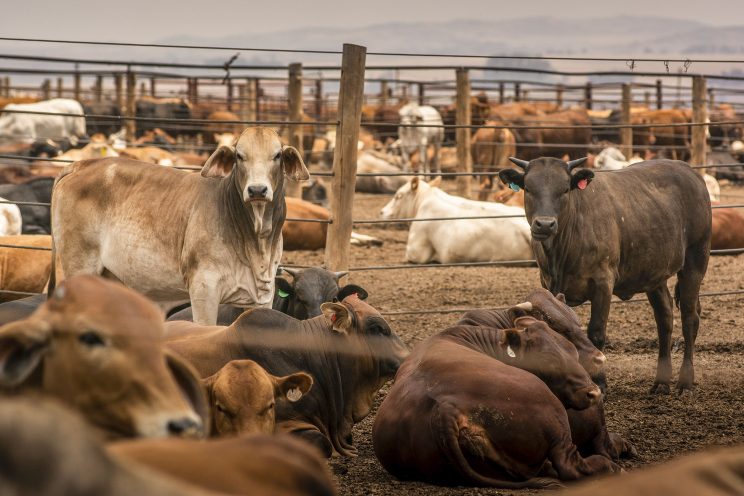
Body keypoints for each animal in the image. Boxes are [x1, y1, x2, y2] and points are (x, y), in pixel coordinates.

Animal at [52, 127, 309, 325]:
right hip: (77, 266)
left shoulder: (263, 295)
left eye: (277, 155)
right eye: (239, 156)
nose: (257, 190)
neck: (255, 241)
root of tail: (81, 165)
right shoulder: (203, 289)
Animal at [372, 309, 618, 489]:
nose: (593, 393)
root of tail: (446, 409)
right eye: (548, 360)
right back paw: (608, 465)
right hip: (553, 414)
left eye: (573, 351)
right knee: (570, 465)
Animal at [499, 157, 711, 393]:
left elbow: (596, 333)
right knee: (664, 318)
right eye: (529, 188)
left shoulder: (603, 282)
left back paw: (685, 382)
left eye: (565, 189)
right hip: (654, 273)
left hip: (696, 259)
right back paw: (661, 382)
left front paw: (599, 382)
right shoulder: (547, 284)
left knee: (689, 318)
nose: (545, 224)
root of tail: (689, 171)